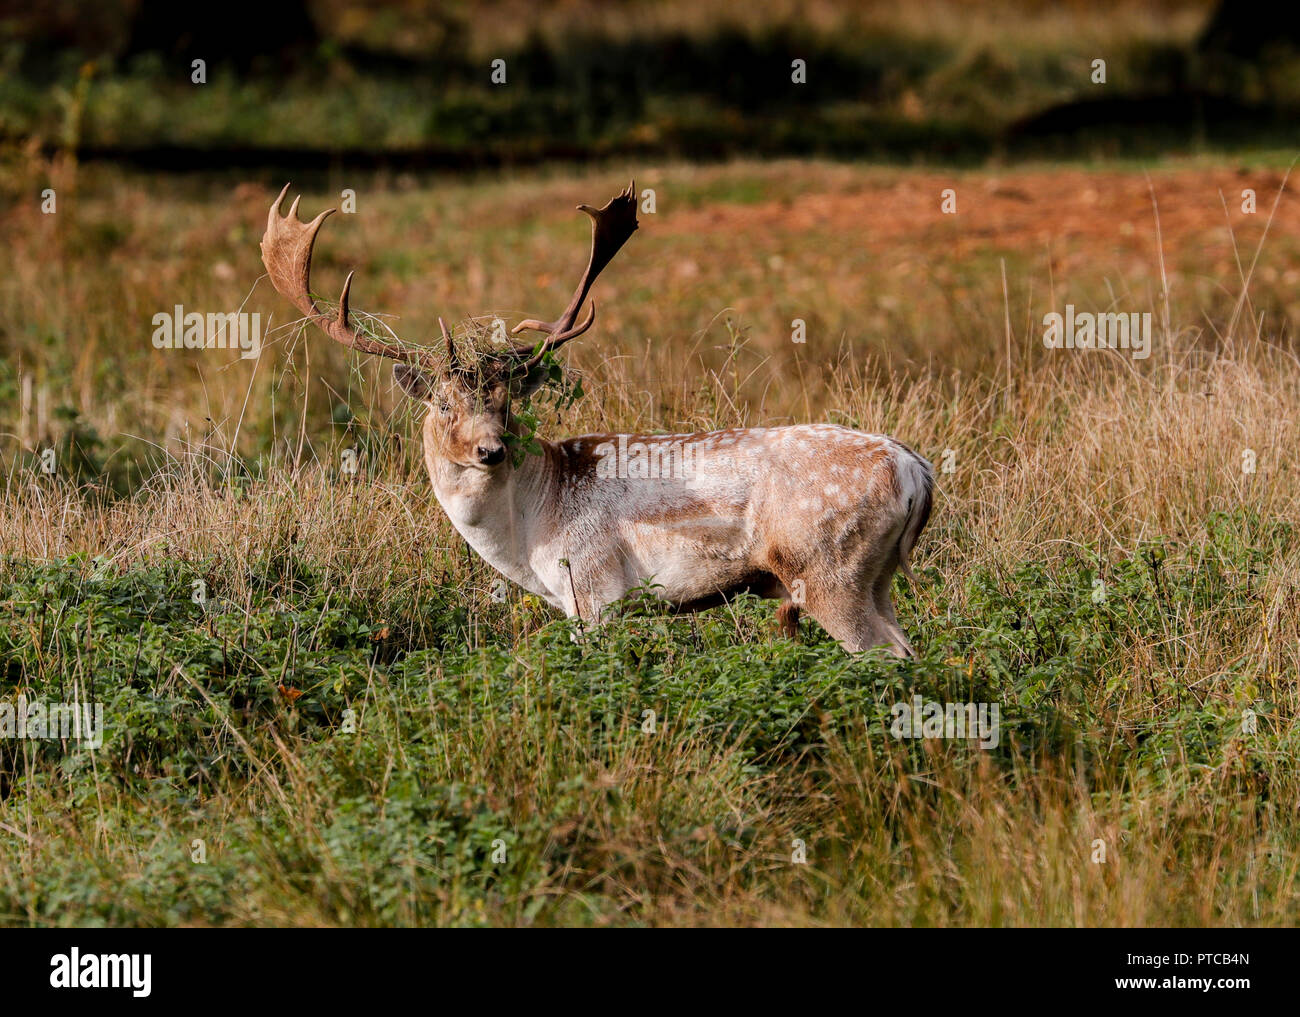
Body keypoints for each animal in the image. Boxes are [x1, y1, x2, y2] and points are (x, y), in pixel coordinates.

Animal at [260, 182, 933, 656]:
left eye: (507, 401)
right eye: (444, 404)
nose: (490, 450)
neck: (531, 530)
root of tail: (917, 473)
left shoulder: (594, 590)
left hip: (825, 568)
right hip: (874, 577)